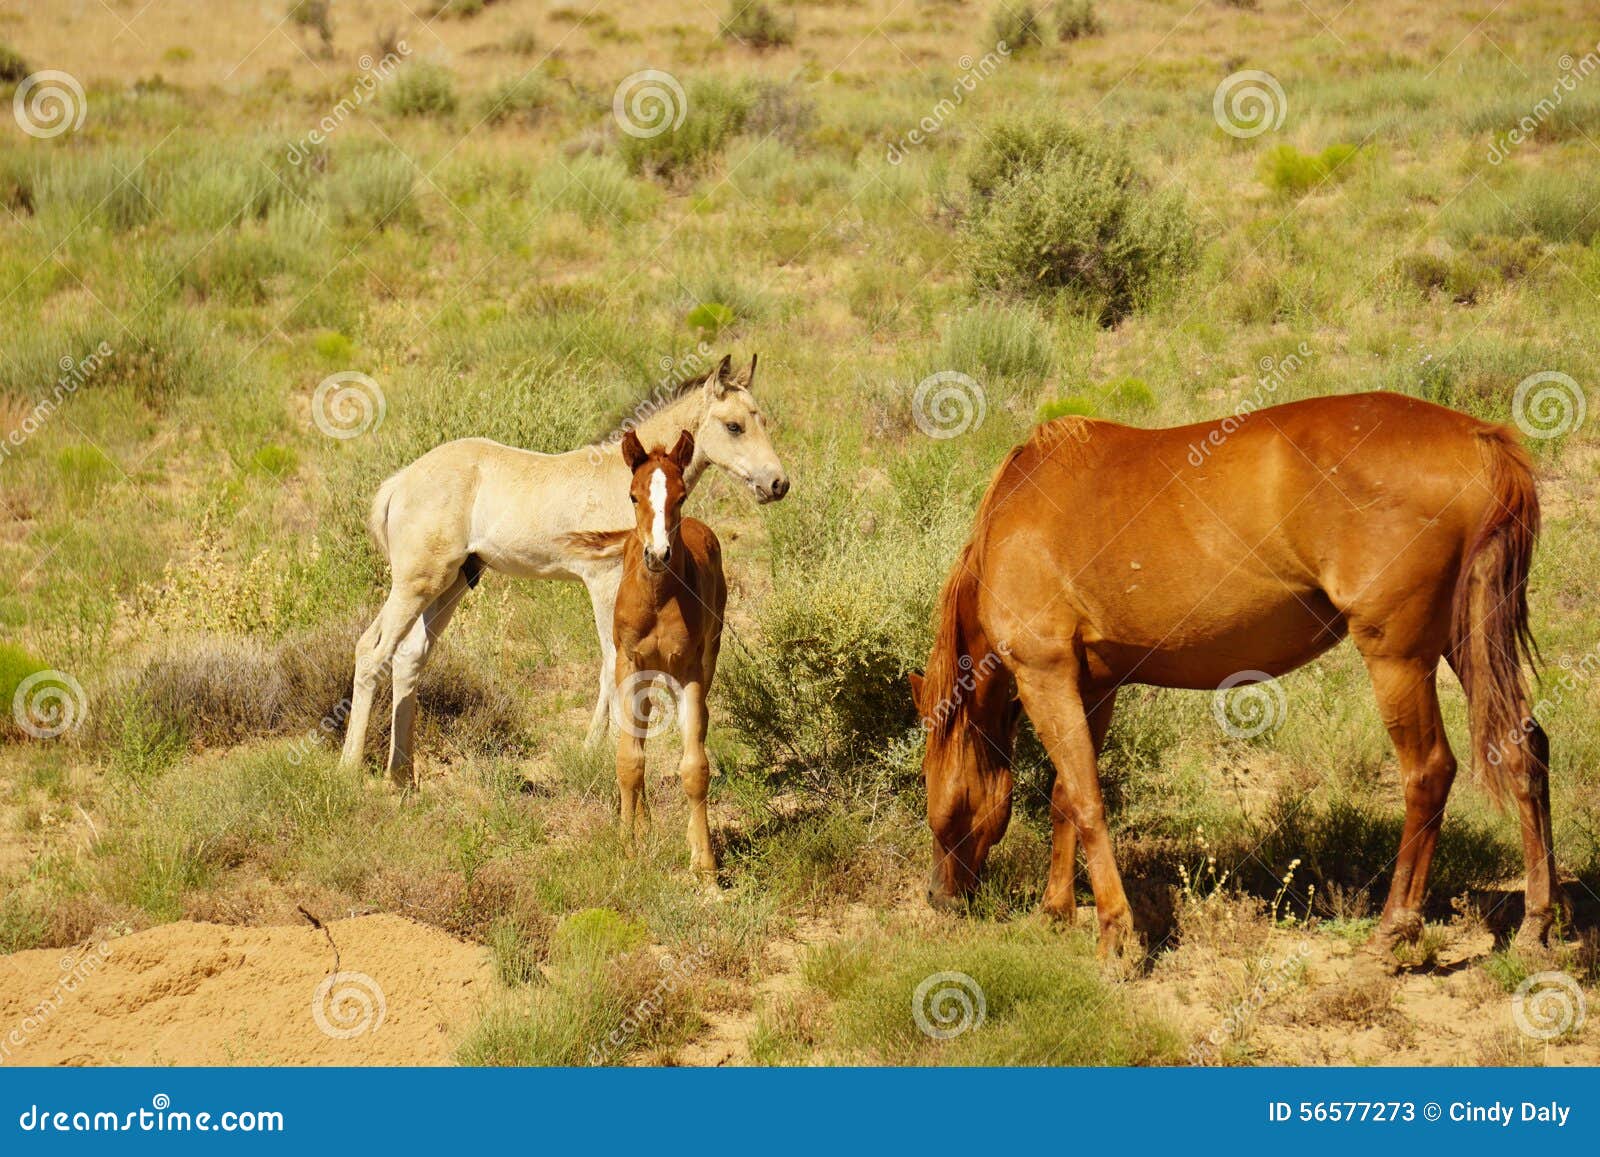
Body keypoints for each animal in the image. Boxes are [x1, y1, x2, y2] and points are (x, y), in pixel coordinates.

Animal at [339, 354, 784, 787]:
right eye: (734, 425)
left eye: (762, 420)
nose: (779, 483)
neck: (629, 481)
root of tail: (400, 481)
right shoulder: (603, 582)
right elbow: (613, 662)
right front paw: (605, 754)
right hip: (416, 582)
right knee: (372, 650)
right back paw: (351, 768)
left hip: (449, 585)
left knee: (409, 657)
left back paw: (402, 776)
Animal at [566, 429, 727, 874]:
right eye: (633, 495)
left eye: (681, 496)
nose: (657, 555)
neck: (657, 599)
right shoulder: (628, 665)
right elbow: (629, 760)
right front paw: (627, 848)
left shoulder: (688, 671)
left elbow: (695, 767)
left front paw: (705, 865)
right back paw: (645, 826)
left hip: (705, 660)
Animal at [911, 391, 1556, 961]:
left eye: (930, 778)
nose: (937, 897)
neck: (1016, 512)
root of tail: (1478, 438)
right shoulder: (1093, 687)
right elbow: (1066, 798)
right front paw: (1055, 912)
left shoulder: (1045, 675)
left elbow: (1087, 800)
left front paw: (1115, 933)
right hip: (1465, 640)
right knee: (1523, 749)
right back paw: (1536, 924)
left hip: (1397, 659)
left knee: (1428, 773)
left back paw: (1393, 932)